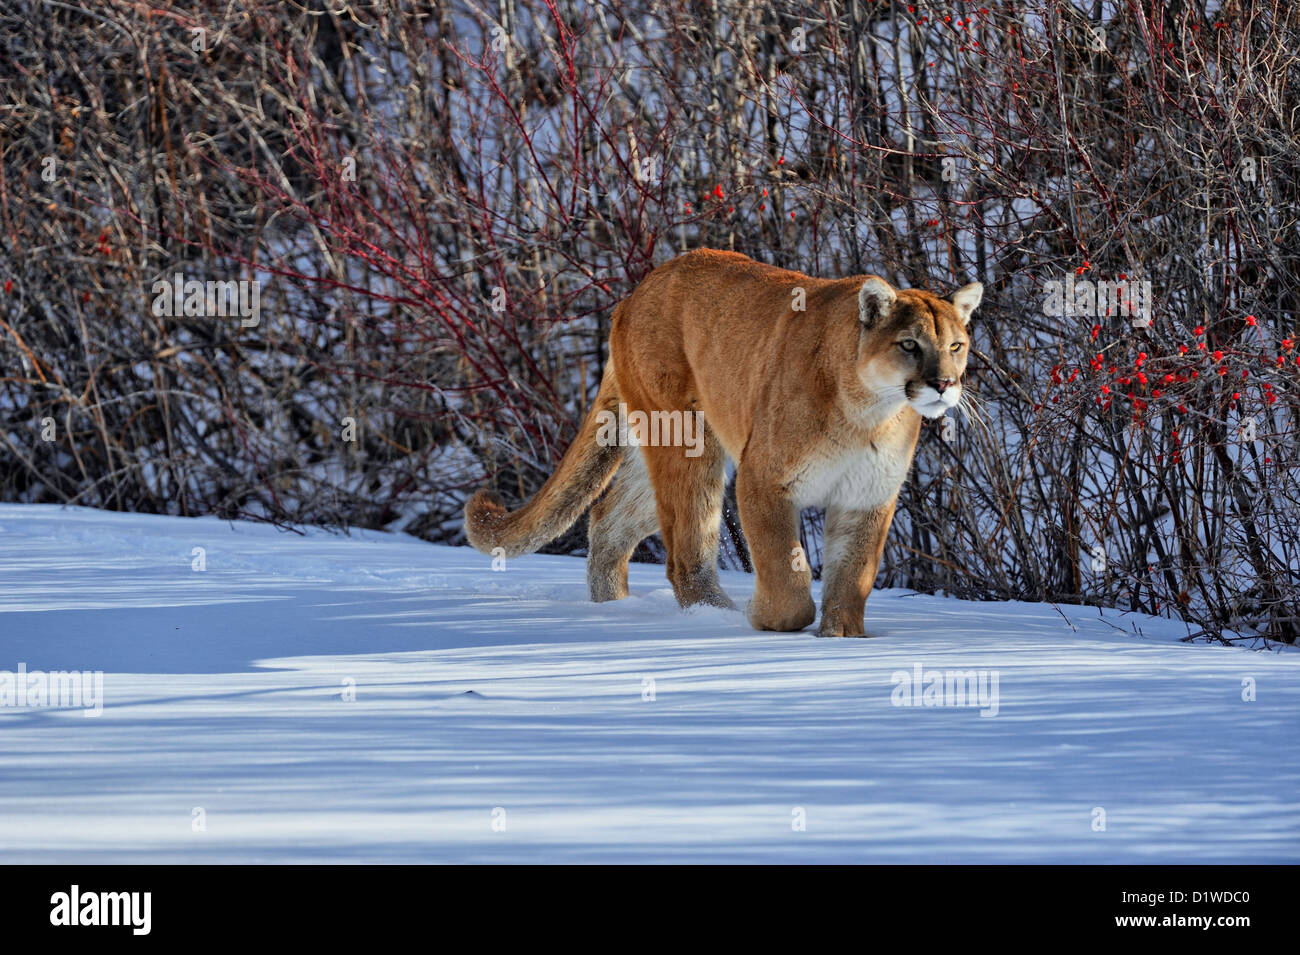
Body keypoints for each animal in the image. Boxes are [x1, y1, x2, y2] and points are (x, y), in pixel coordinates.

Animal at [464, 249, 982, 637]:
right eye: (910, 344)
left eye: (956, 346)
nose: (944, 383)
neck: (869, 412)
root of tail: (638, 289)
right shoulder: (765, 480)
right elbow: (785, 569)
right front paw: (770, 619)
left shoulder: (866, 496)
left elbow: (854, 575)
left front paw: (843, 635)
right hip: (687, 440)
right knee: (685, 548)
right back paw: (716, 614)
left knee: (609, 518)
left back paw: (612, 608)